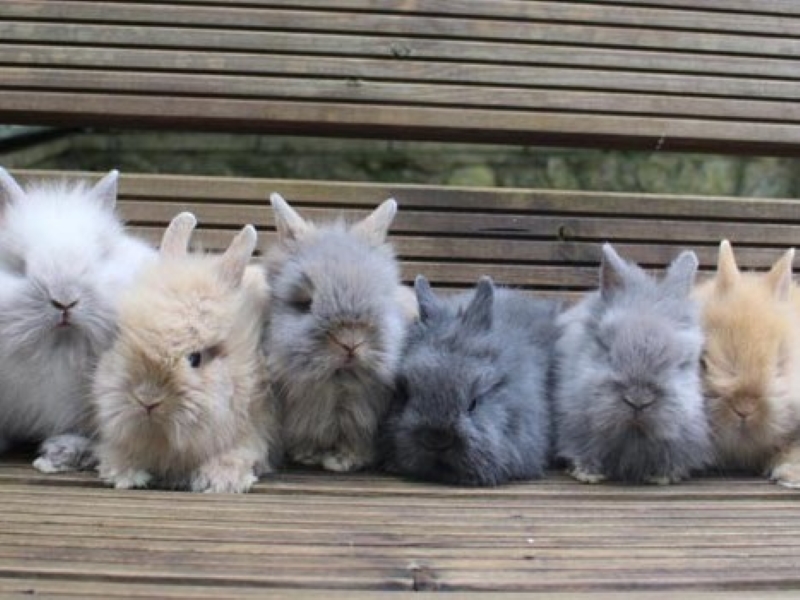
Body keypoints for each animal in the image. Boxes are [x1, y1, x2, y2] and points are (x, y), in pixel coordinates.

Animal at [265, 193, 411, 472]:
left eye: (381, 297)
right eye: (305, 303)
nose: (350, 343)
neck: (336, 385)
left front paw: (342, 461)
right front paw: (307, 455)